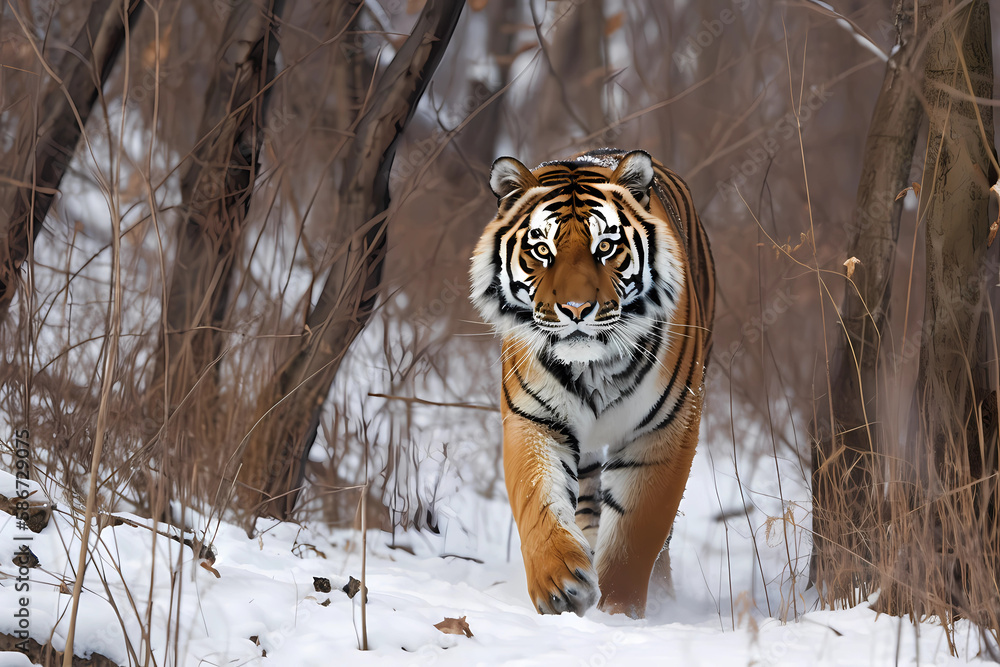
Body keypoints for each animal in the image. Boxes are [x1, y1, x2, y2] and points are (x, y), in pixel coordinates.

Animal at [469, 148, 714, 618]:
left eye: (605, 247)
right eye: (541, 250)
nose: (577, 308)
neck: (594, 367)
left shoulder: (664, 431)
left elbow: (636, 534)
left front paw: (620, 612)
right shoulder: (536, 419)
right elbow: (539, 501)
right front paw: (561, 585)